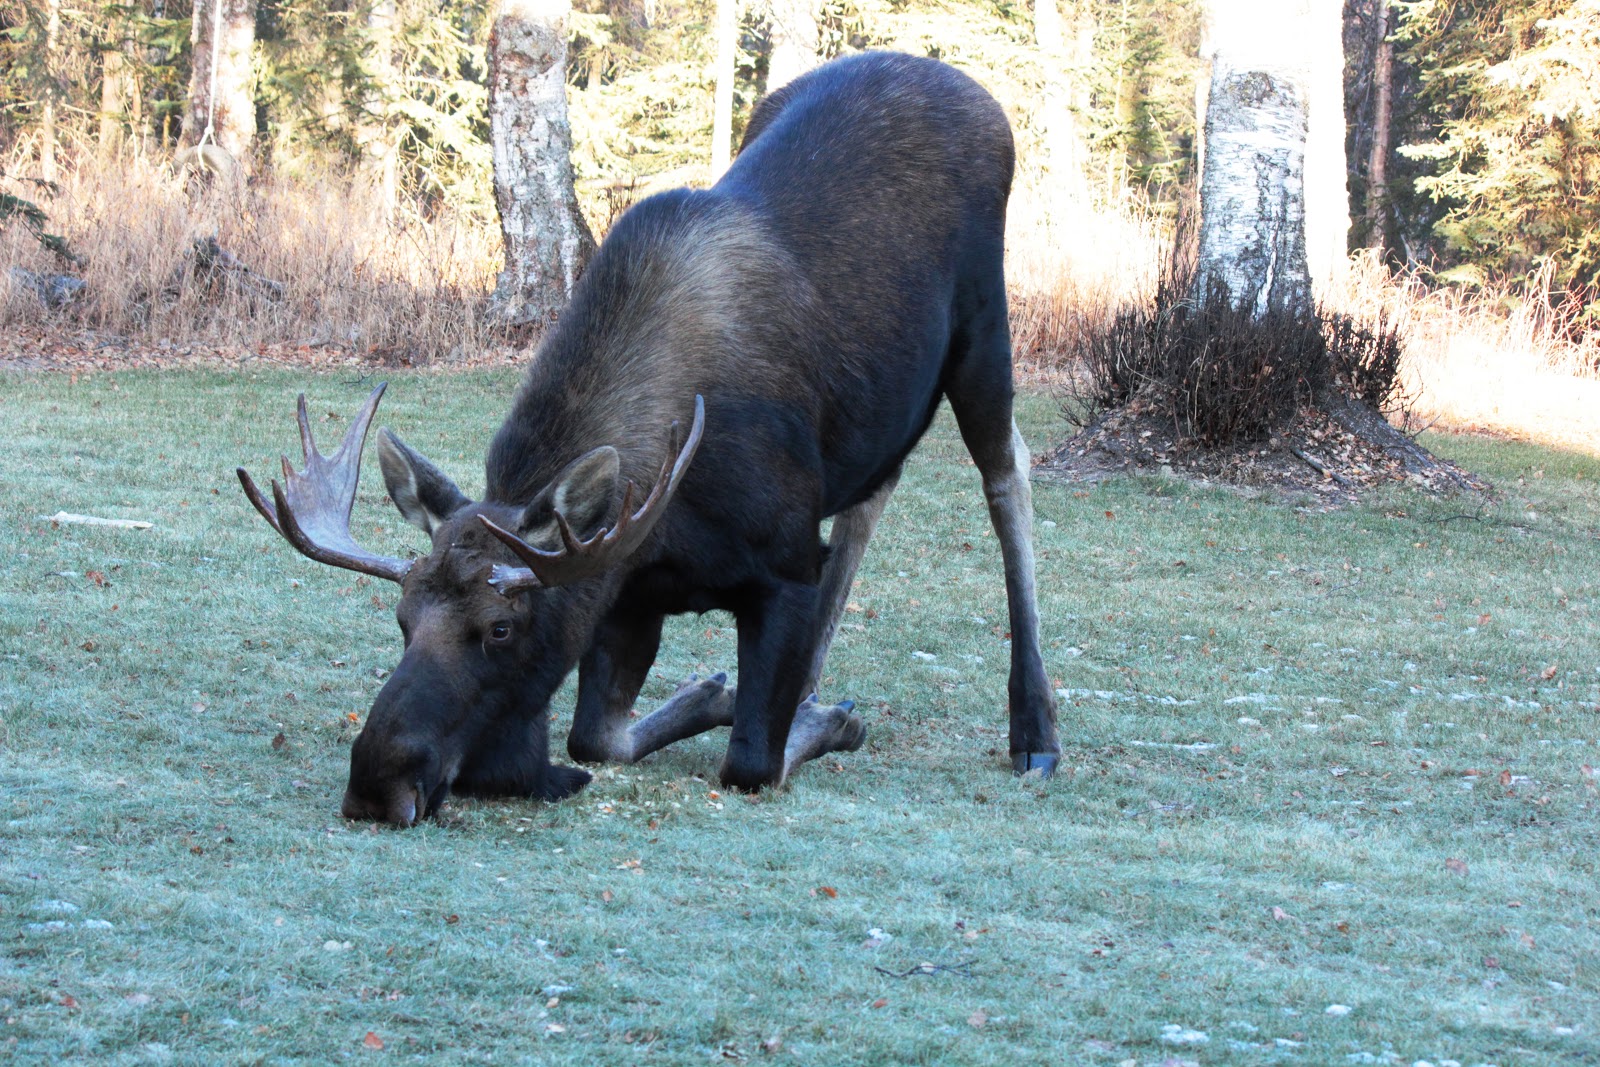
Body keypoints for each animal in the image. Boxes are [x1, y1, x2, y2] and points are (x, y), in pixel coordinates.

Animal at [238, 52, 1062, 827]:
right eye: (402, 618)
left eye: (500, 626)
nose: (377, 781)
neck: (674, 511)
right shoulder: (628, 589)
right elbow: (597, 738)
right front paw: (717, 695)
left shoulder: (788, 561)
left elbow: (753, 762)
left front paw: (820, 722)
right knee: (877, 490)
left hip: (984, 330)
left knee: (1007, 475)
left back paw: (1035, 729)